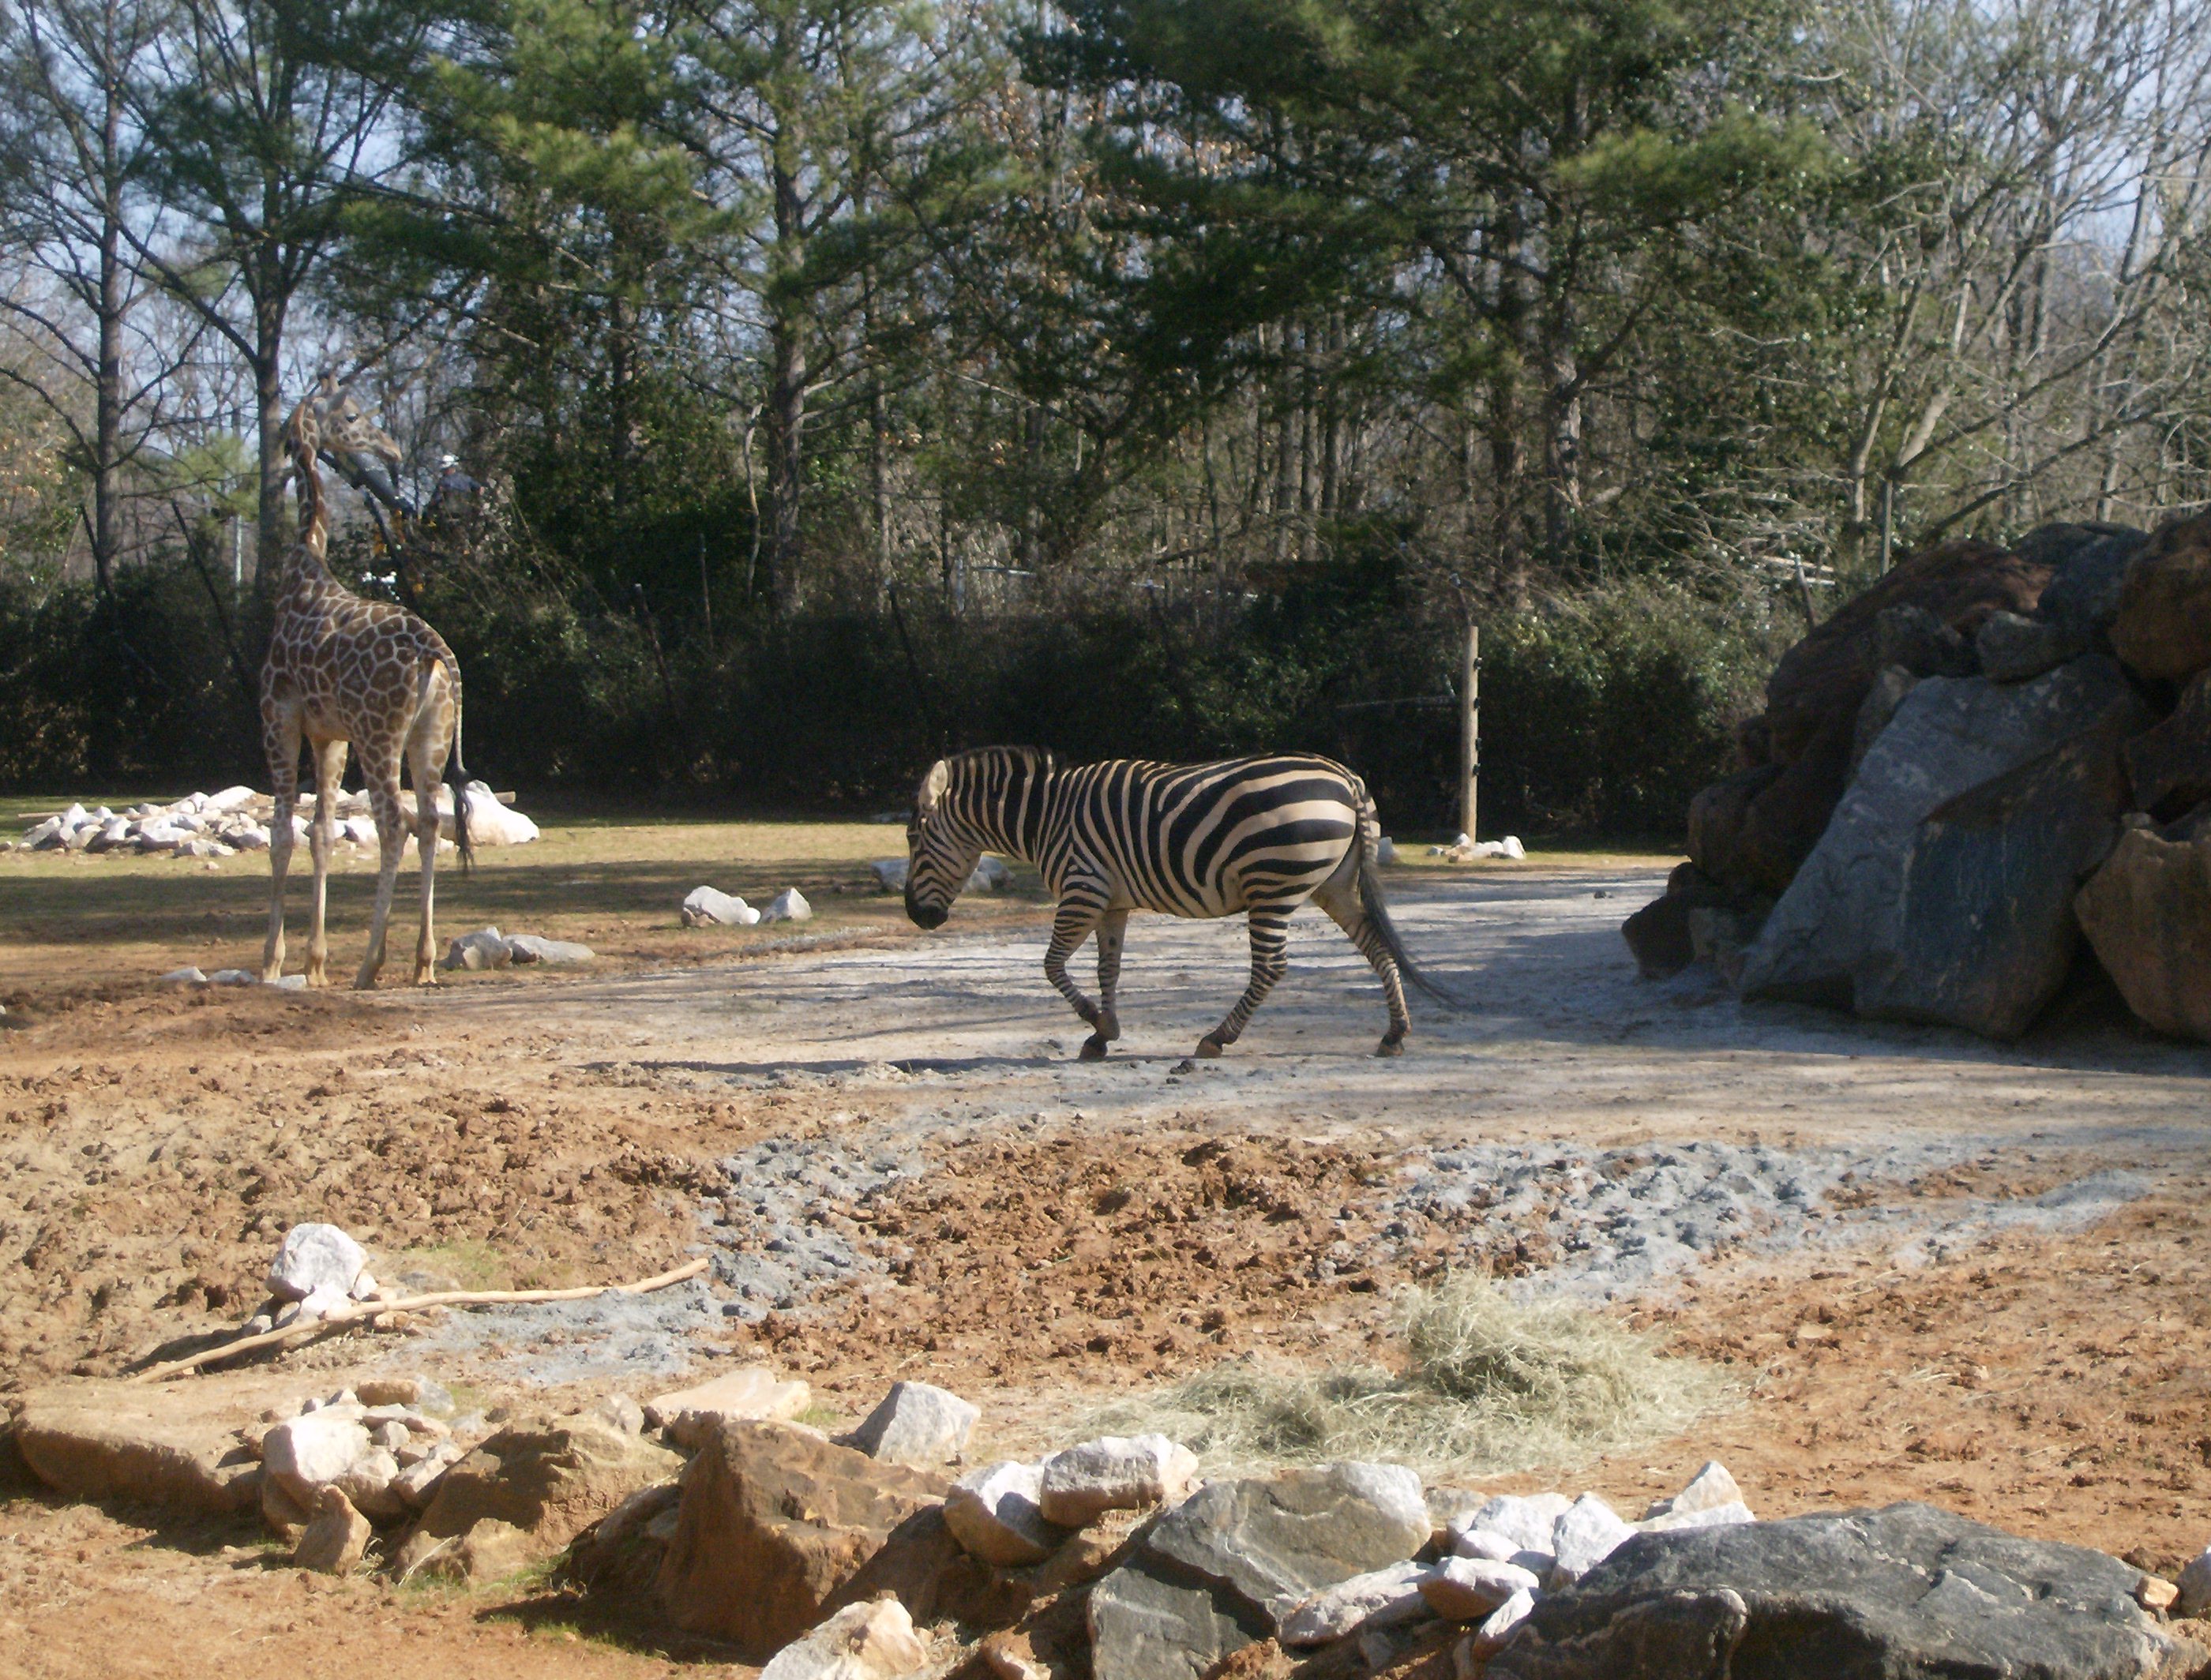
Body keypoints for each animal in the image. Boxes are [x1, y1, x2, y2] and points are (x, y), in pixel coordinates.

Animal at [902, 746, 1452, 1058]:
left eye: (913, 840)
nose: (916, 916)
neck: (1044, 818)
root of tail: (1346, 777)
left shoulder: (1083, 890)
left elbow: (1052, 964)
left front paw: (1095, 1022)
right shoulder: (1112, 903)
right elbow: (1108, 969)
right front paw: (1104, 1033)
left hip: (1271, 886)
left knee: (1271, 967)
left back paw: (1217, 1039)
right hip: (1332, 886)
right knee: (1377, 946)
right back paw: (1395, 1034)